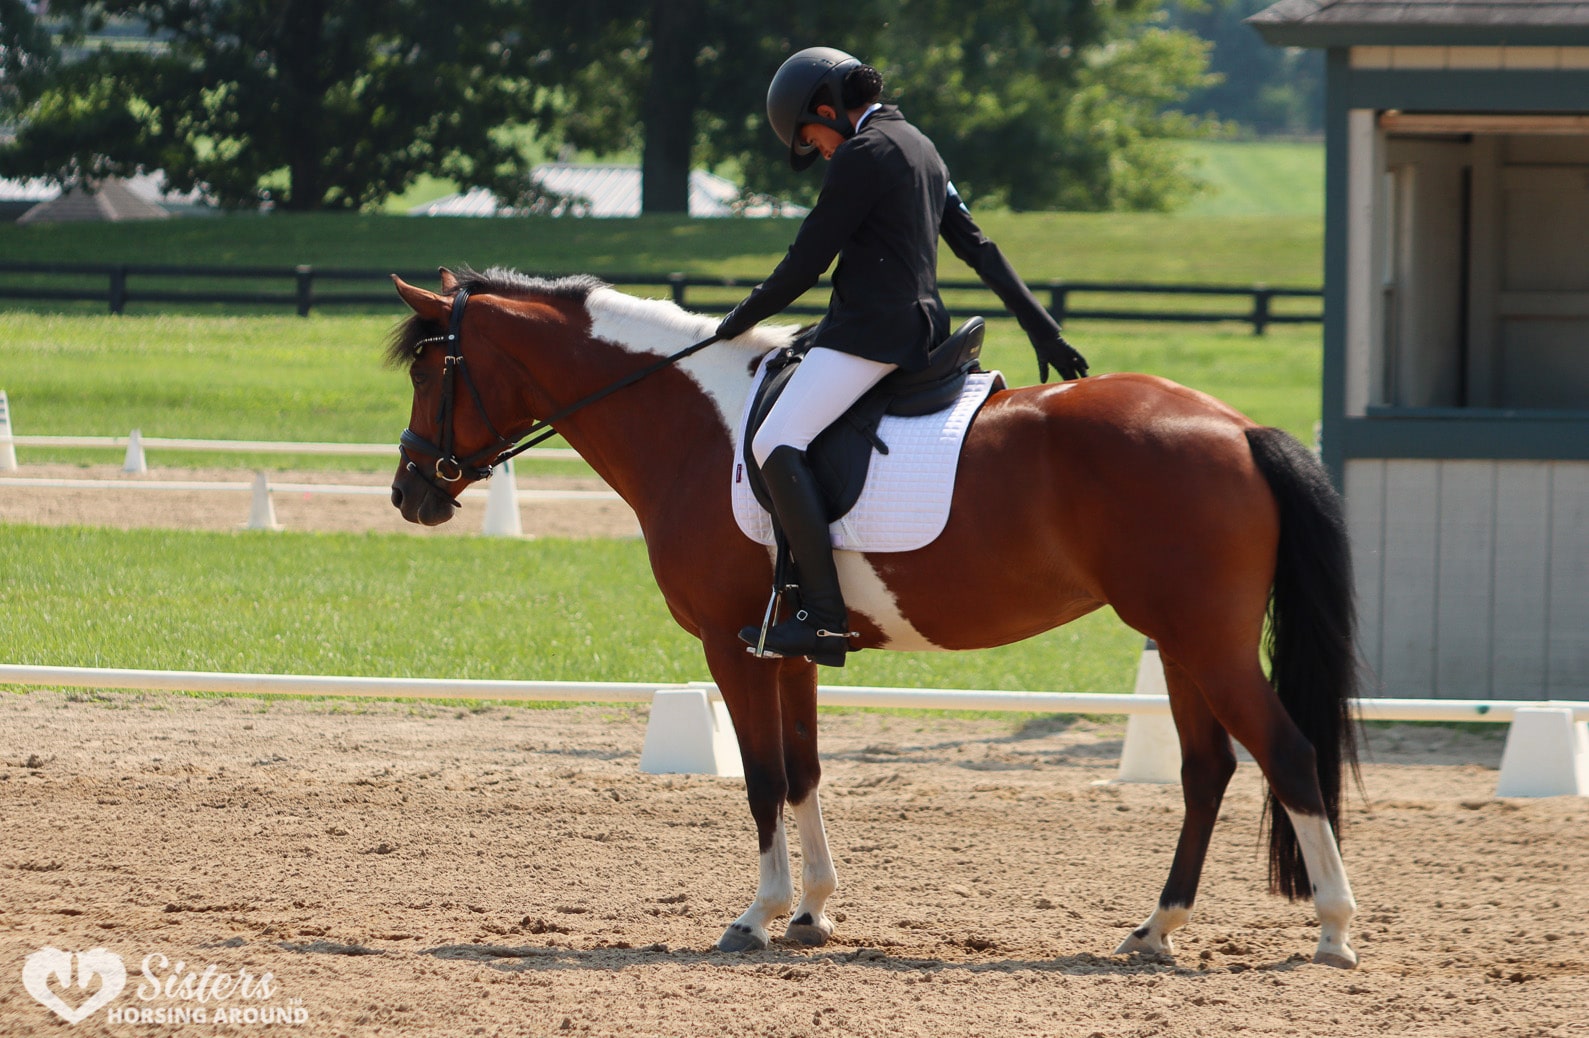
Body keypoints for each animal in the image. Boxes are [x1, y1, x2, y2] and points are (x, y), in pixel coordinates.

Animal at [385, 266, 1362, 968]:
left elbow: (761, 780)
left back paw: (1331, 930)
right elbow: (805, 772)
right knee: (1207, 772)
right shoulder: (791, 648)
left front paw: (758, 916)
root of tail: (1237, 428)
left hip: (1206, 640)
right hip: (1178, 642)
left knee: (1287, 754)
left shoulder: (730, 646)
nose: (408, 494)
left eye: (433, 369)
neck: (695, 423)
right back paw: (1154, 931)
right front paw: (813, 914)